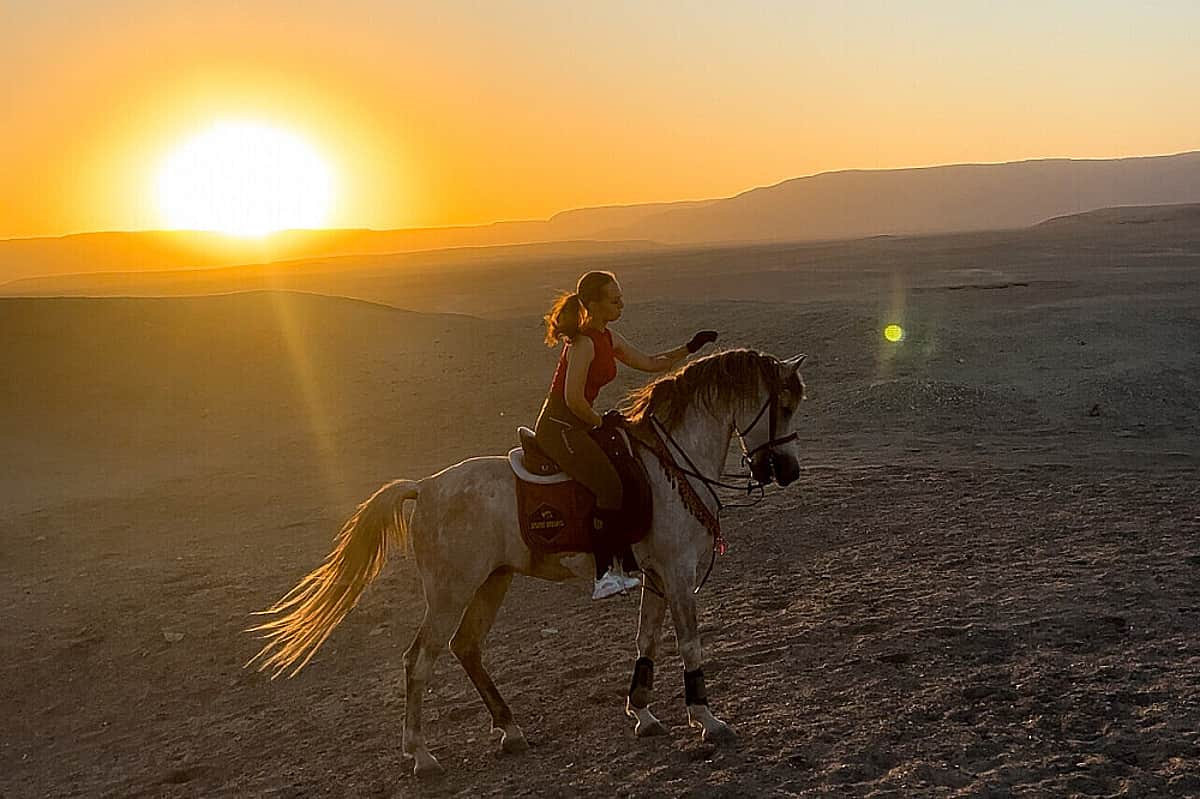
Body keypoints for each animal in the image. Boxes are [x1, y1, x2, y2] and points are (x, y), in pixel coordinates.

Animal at [248, 347, 806, 772]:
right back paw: (422, 755)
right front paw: (707, 720)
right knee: (420, 658)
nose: (787, 471)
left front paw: (644, 715)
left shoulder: (657, 576)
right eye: (784, 403)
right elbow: (689, 643)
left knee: (466, 647)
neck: (670, 466)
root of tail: (425, 488)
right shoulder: (678, 572)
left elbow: (646, 639)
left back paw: (510, 730)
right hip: (451, 591)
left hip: (493, 581)